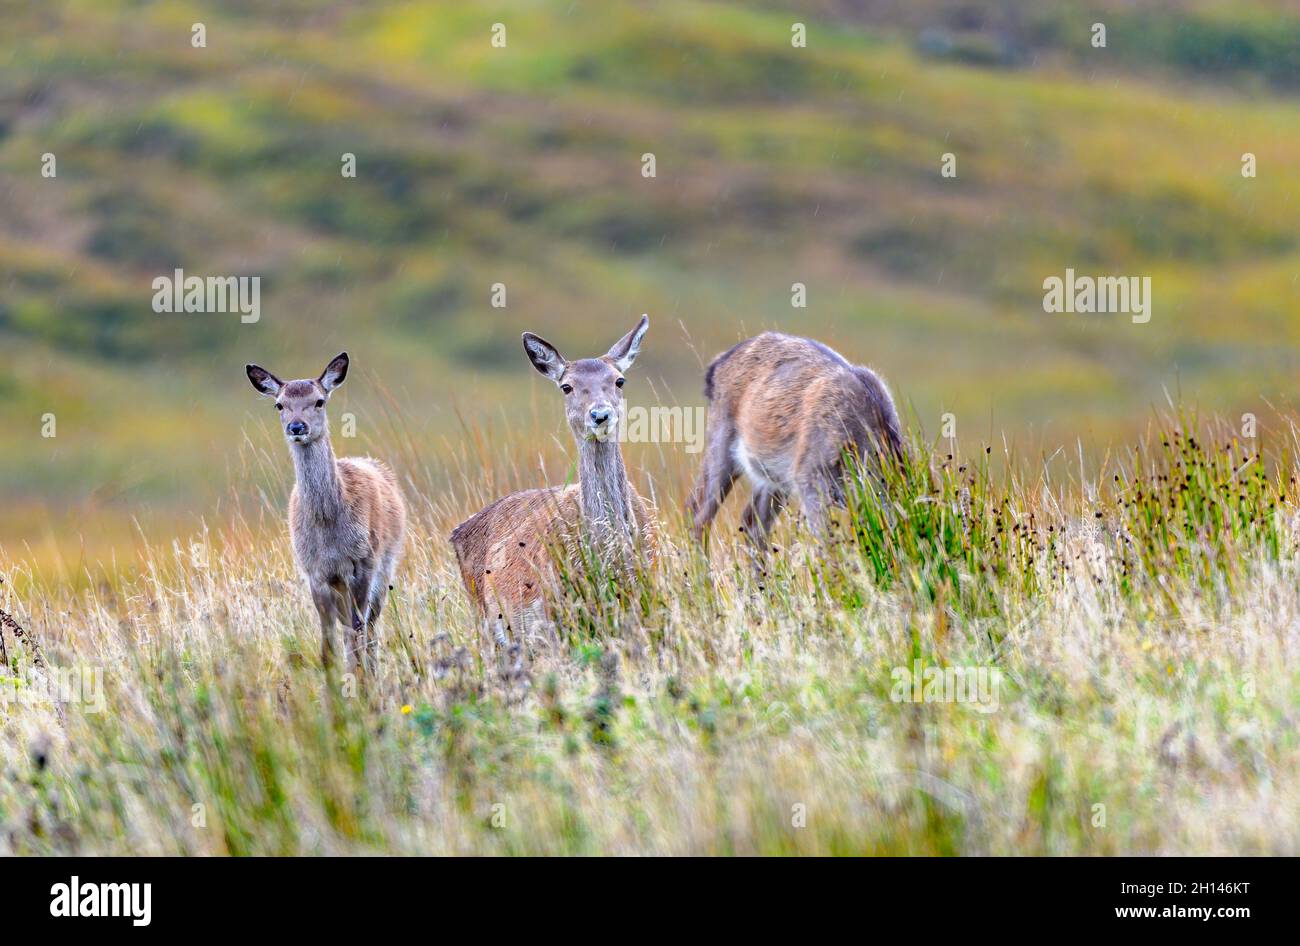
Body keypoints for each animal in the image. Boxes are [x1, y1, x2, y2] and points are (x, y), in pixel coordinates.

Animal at [245, 352, 406, 678]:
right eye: (279, 404)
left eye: (319, 401)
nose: (297, 427)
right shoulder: (314, 572)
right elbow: (327, 647)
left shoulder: (364, 562)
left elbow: (359, 631)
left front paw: (361, 683)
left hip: (386, 565)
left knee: (370, 628)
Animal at [450, 315, 658, 646]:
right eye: (566, 386)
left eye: (619, 380)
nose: (600, 415)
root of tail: (458, 531)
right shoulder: (555, 618)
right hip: (487, 620)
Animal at [688, 332, 903, 549]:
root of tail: (715, 366)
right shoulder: (809, 475)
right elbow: (824, 540)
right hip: (720, 442)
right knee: (698, 510)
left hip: (773, 476)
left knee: (752, 523)